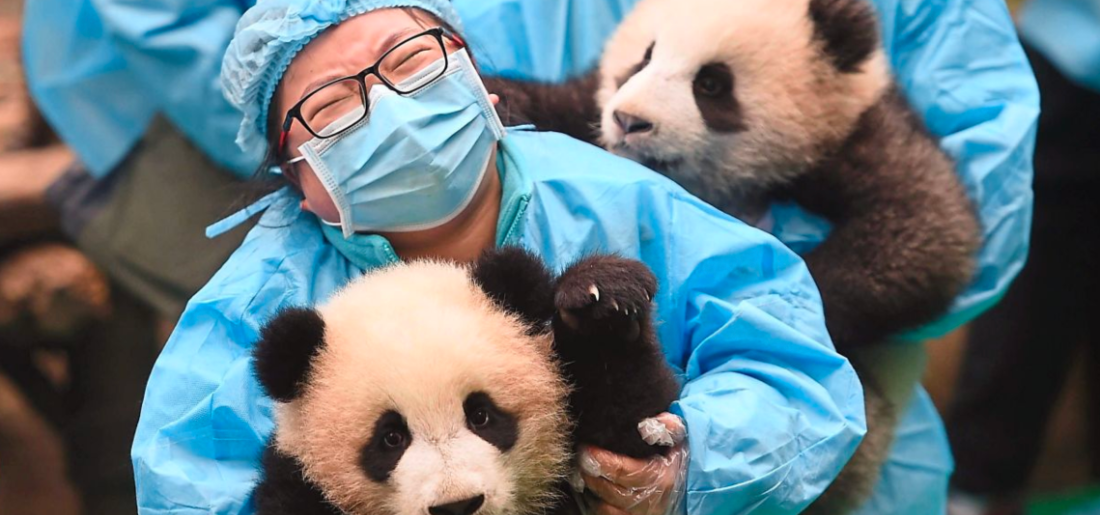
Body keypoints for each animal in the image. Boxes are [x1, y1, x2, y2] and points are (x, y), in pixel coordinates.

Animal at [249, 247, 680, 515]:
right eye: (391, 438)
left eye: (481, 416)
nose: (456, 505)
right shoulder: (297, 481)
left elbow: (627, 422)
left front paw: (601, 298)